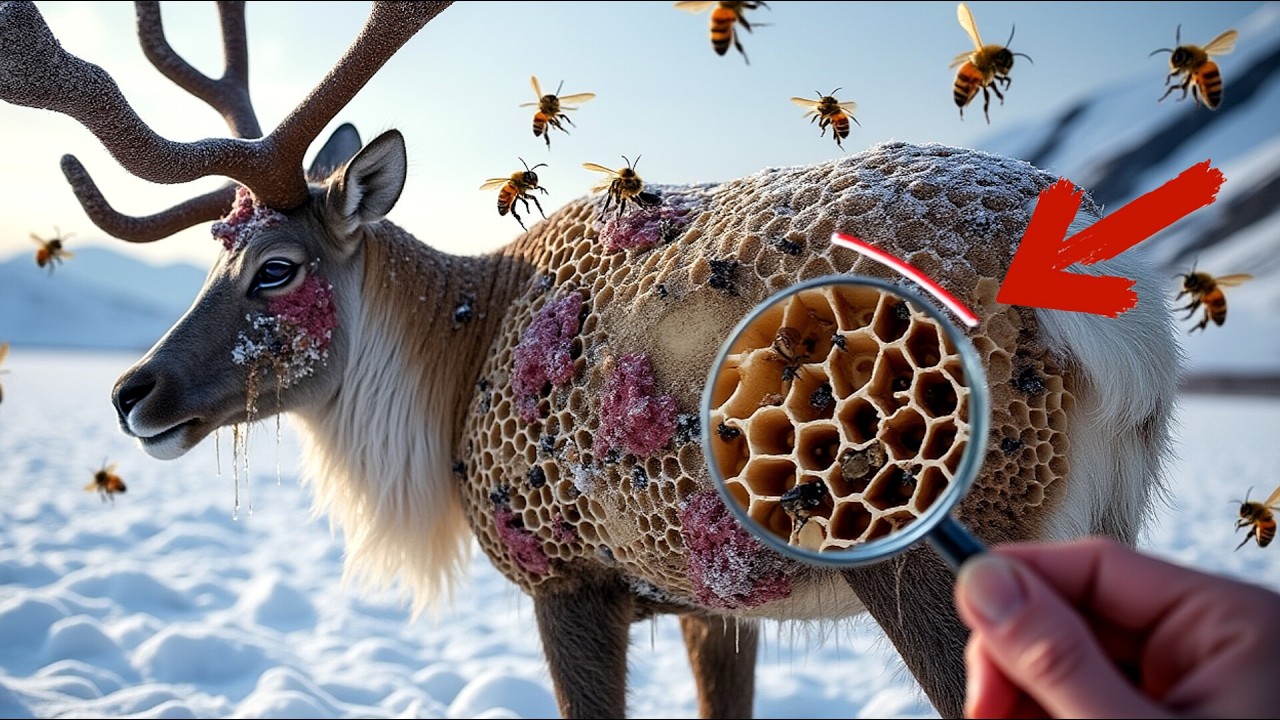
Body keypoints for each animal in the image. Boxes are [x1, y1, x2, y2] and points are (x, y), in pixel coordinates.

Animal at [0, 1, 1183, 718]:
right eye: (219, 252)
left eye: (276, 269)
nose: (133, 391)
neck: (451, 362)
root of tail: (1117, 317)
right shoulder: (708, 597)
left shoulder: (565, 578)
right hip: (1104, 525)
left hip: (938, 551)